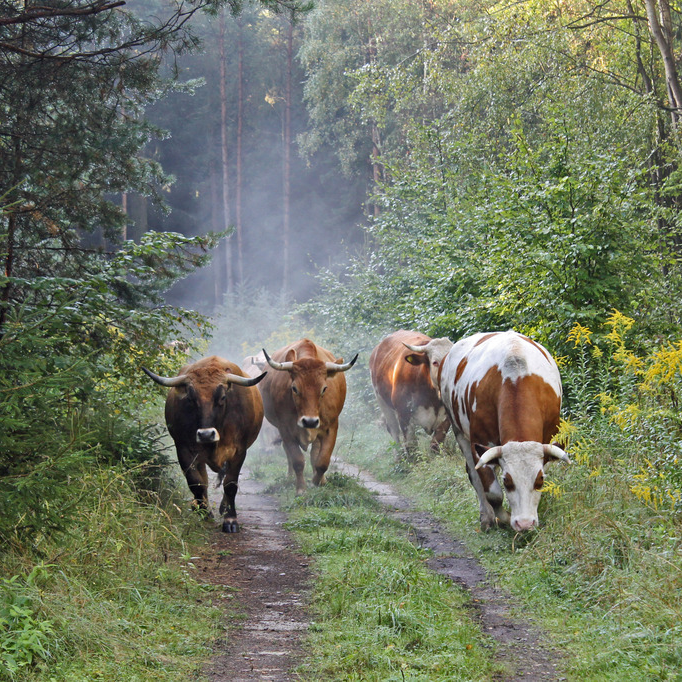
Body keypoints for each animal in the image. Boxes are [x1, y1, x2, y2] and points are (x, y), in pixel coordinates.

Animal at [142, 356, 266, 533]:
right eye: (191, 399)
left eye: (222, 397)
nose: (206, 434)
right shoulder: (184, 449)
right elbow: (197, 482)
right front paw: (204, 511)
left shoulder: (239, 451)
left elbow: (230, 484)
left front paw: (230, 519)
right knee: (204, 480)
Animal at [258, 338, 357, 494]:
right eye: (294, 388)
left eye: (324, 388)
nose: (309, 422)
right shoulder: (285, 430)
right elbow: (297, 460)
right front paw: (301, 488)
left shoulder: (331, 428)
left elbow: (322, 461)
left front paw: (317, 482)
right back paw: (290, 476)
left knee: (315, 454)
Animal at [404, 331, 569, 532]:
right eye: (507, 481)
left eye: (540, 480)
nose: (524, 524)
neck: (515, 379)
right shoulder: (481, 443)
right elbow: (493, 493)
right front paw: (503, 518)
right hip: (459, 430)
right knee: (474, 475)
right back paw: (487, 517)